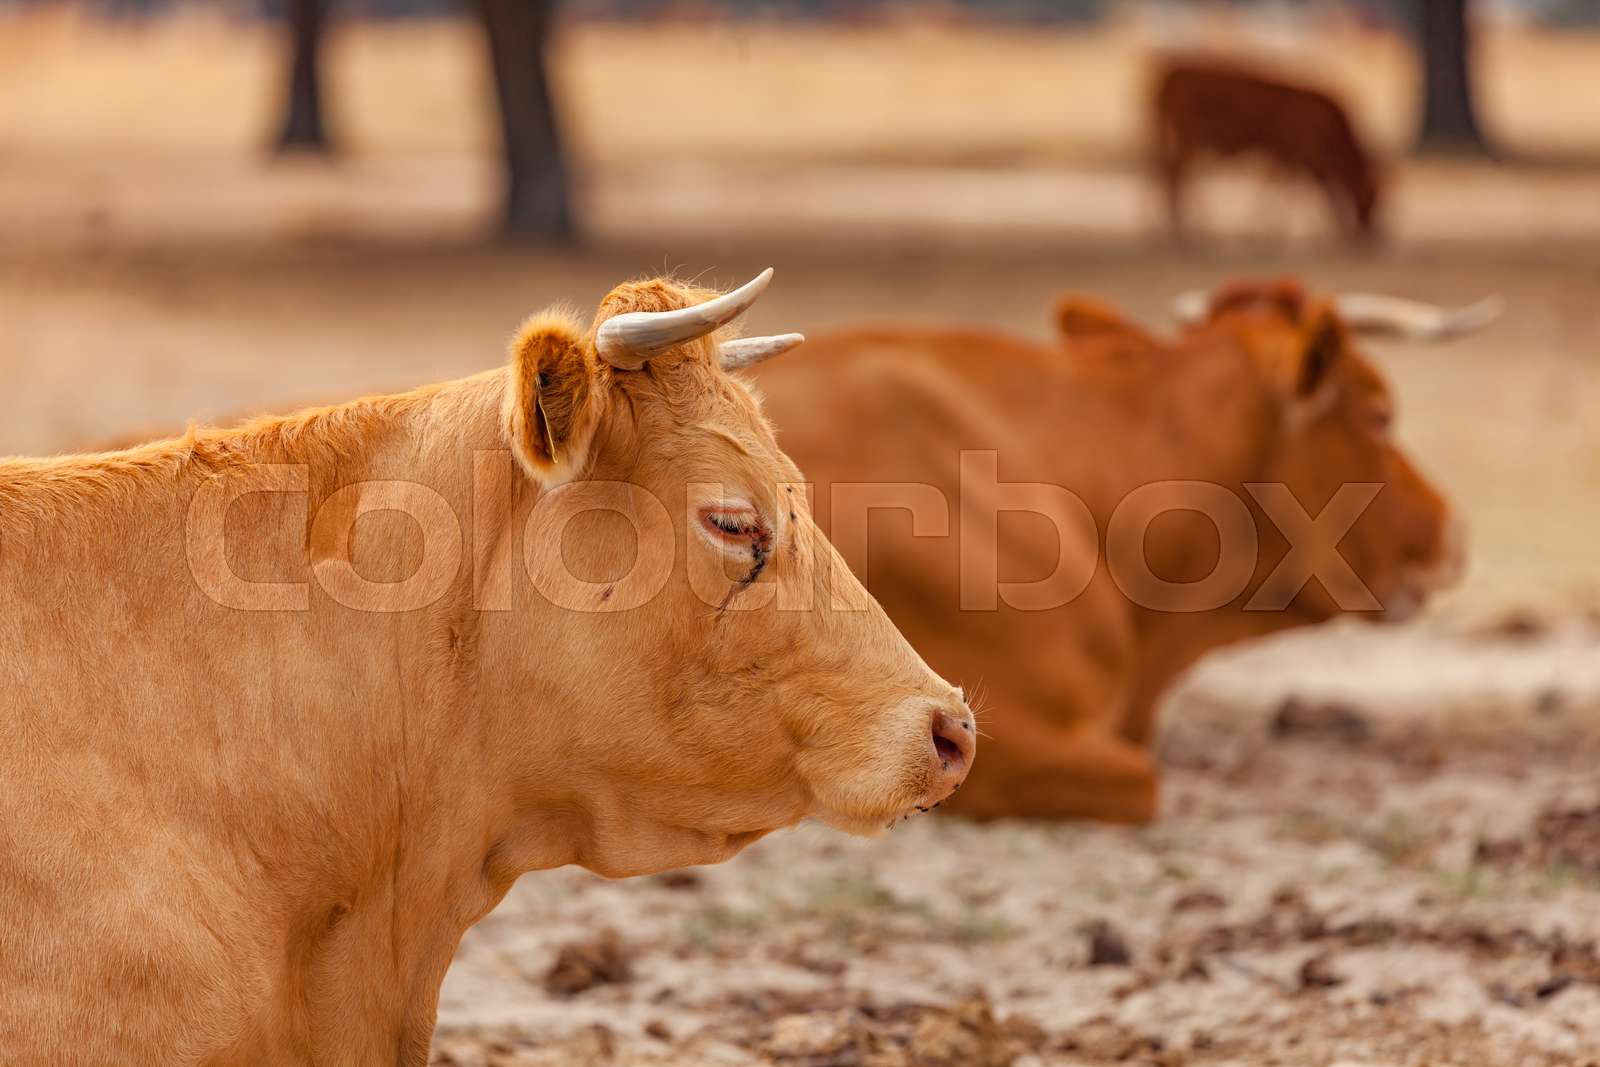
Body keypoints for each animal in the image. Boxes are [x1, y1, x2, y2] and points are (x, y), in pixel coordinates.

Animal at [1153, 57, 1383, 241]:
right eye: (1371, 200)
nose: (1369, 230)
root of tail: (1172, 76)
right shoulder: (1301, 157)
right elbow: (1292, 191)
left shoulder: (1297, 161)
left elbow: (1288, 190)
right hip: (1190, 140)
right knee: (1179, 176)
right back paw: (1191, 222)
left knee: (1177, 175)